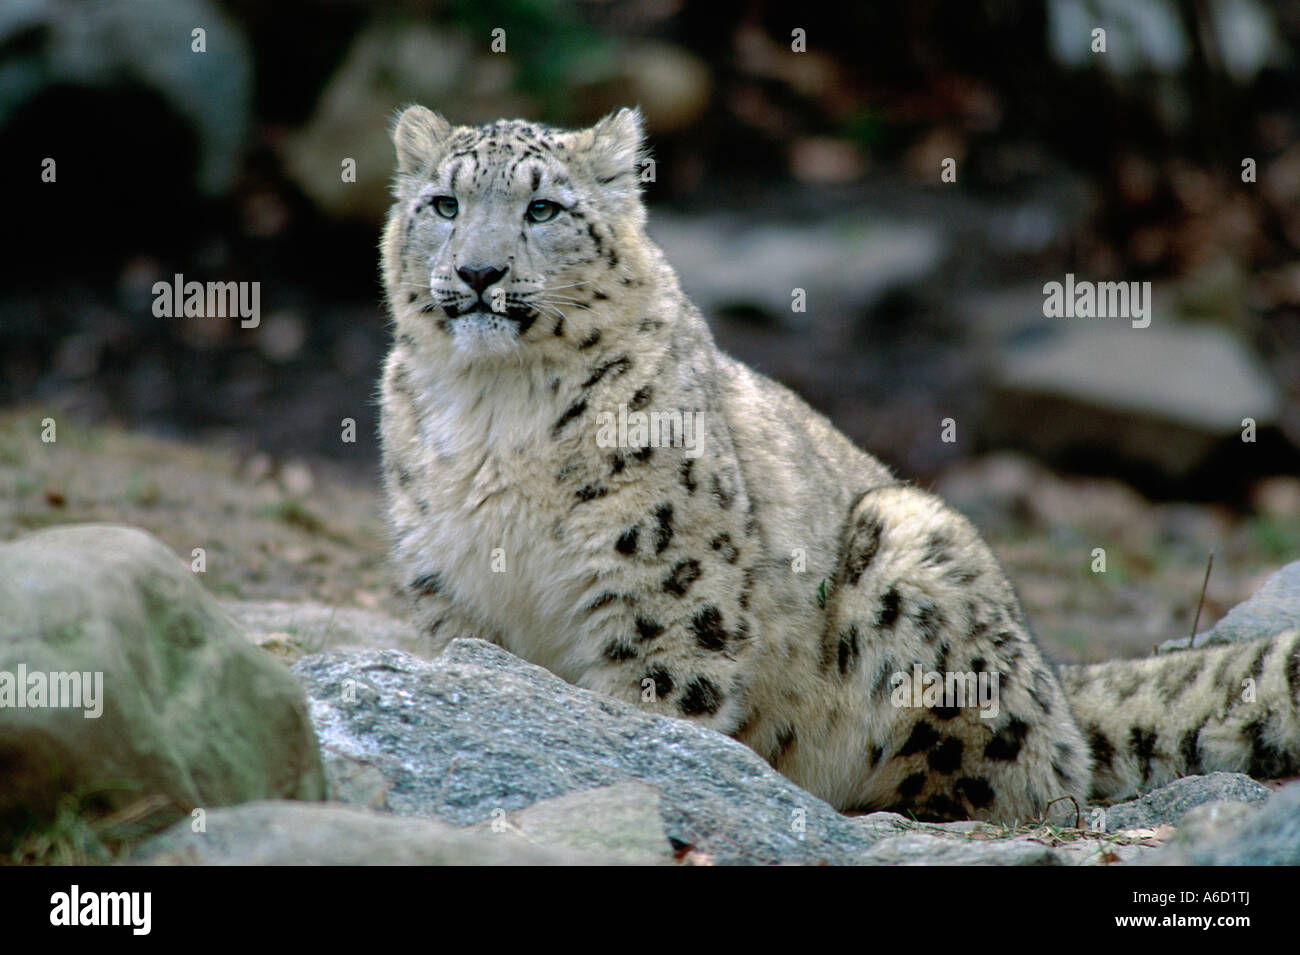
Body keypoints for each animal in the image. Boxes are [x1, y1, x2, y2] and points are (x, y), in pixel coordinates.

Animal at [378, 104, 1300, 823]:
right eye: (445, 202)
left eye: (543, 209)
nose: (478, 270)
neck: (499, 413)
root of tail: (1061, 685)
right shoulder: (454, 593)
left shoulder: (664, 587)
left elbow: (656, 703)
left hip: (913, 553)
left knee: (1021, 774)